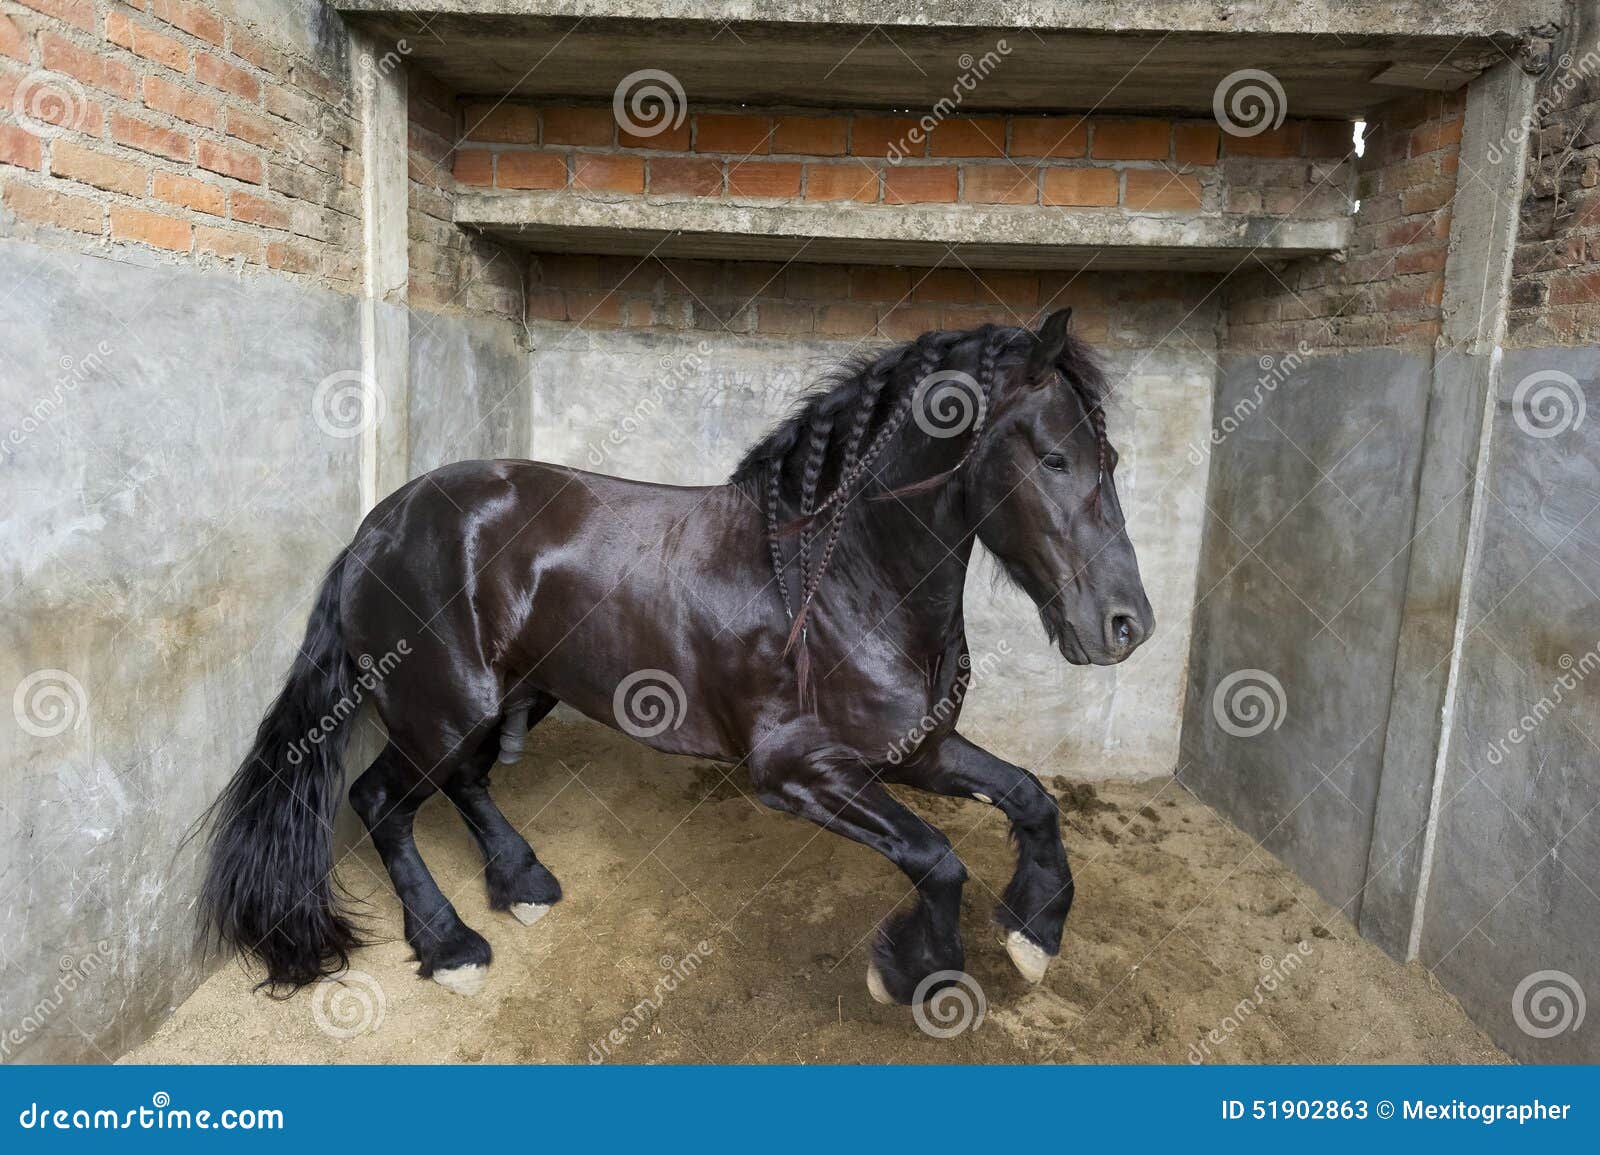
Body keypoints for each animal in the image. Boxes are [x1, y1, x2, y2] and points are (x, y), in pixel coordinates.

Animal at [200, 307, 1154, 1006]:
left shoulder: (915, 750)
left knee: (466, 782)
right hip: (441, 705)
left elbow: (1030, 798)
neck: (835, 577)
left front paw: (1034, 935)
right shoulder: (799, 773)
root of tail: (377, 525)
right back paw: (453, 945)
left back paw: (524, 883)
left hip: (513, 693)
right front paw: (915, 970)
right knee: (380, 801)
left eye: (1108, 456)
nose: (1127, 626)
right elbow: (938, 858)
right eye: (1054, 457)